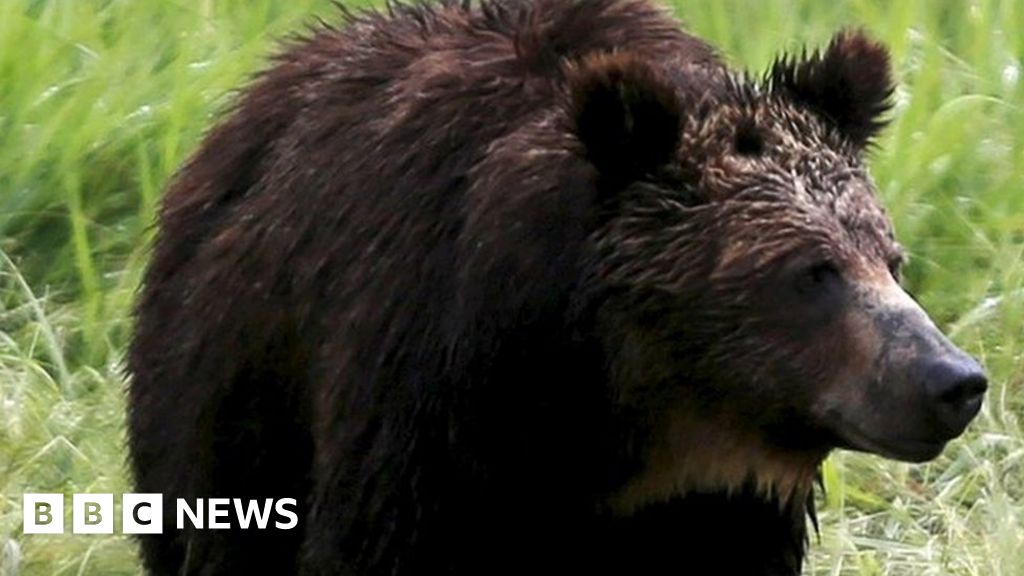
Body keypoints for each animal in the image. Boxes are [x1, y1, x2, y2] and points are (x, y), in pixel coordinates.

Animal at [126, 0, 988, 574]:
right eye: (810, 271)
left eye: (891, 259)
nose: (951, 379)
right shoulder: (420, 409)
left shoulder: (719, 508)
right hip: (230, 396)